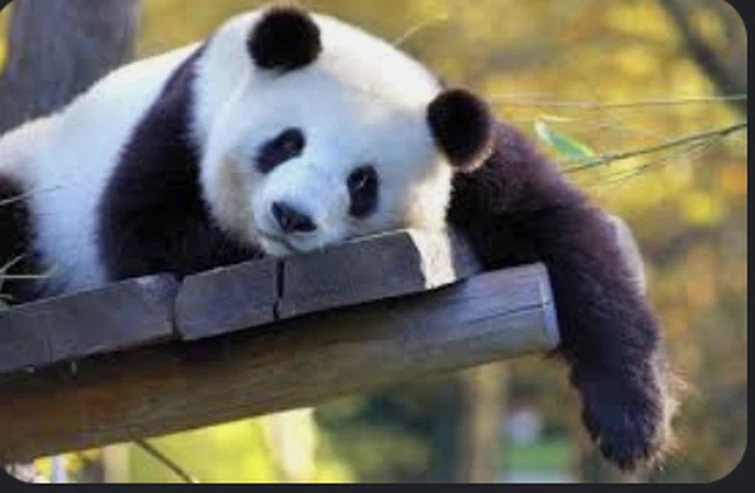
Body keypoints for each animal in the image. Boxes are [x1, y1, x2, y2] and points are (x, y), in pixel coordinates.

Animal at [0, 4, 675, 472]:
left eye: (362, 182)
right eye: (286, 142)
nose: (291, 216)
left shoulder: (467, 155)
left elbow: (563, 231)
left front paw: (634, 423)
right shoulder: (185, 116)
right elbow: (143, 231)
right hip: (33, 181)